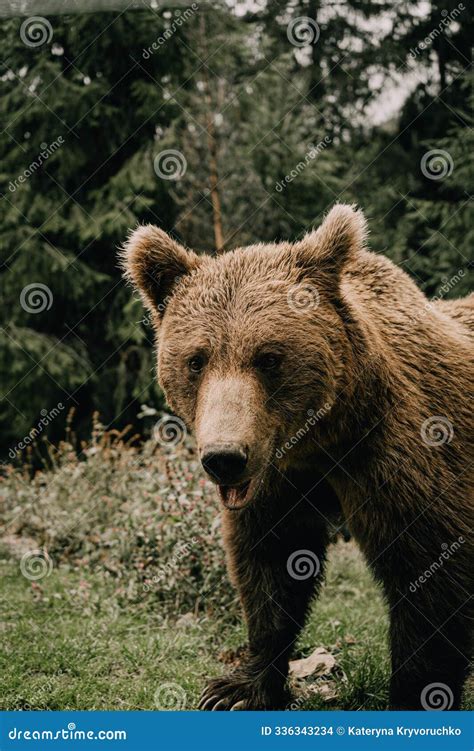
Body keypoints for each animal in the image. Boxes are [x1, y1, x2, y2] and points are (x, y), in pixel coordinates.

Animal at [121, 204, 473, 711]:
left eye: (268, 357)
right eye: (196, 360)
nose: (224, 458)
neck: (322, 441)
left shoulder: (399, 457)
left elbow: (429, 575)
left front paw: (417, 694)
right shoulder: (279, 478)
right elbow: (271, 562)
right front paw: (239, 688)